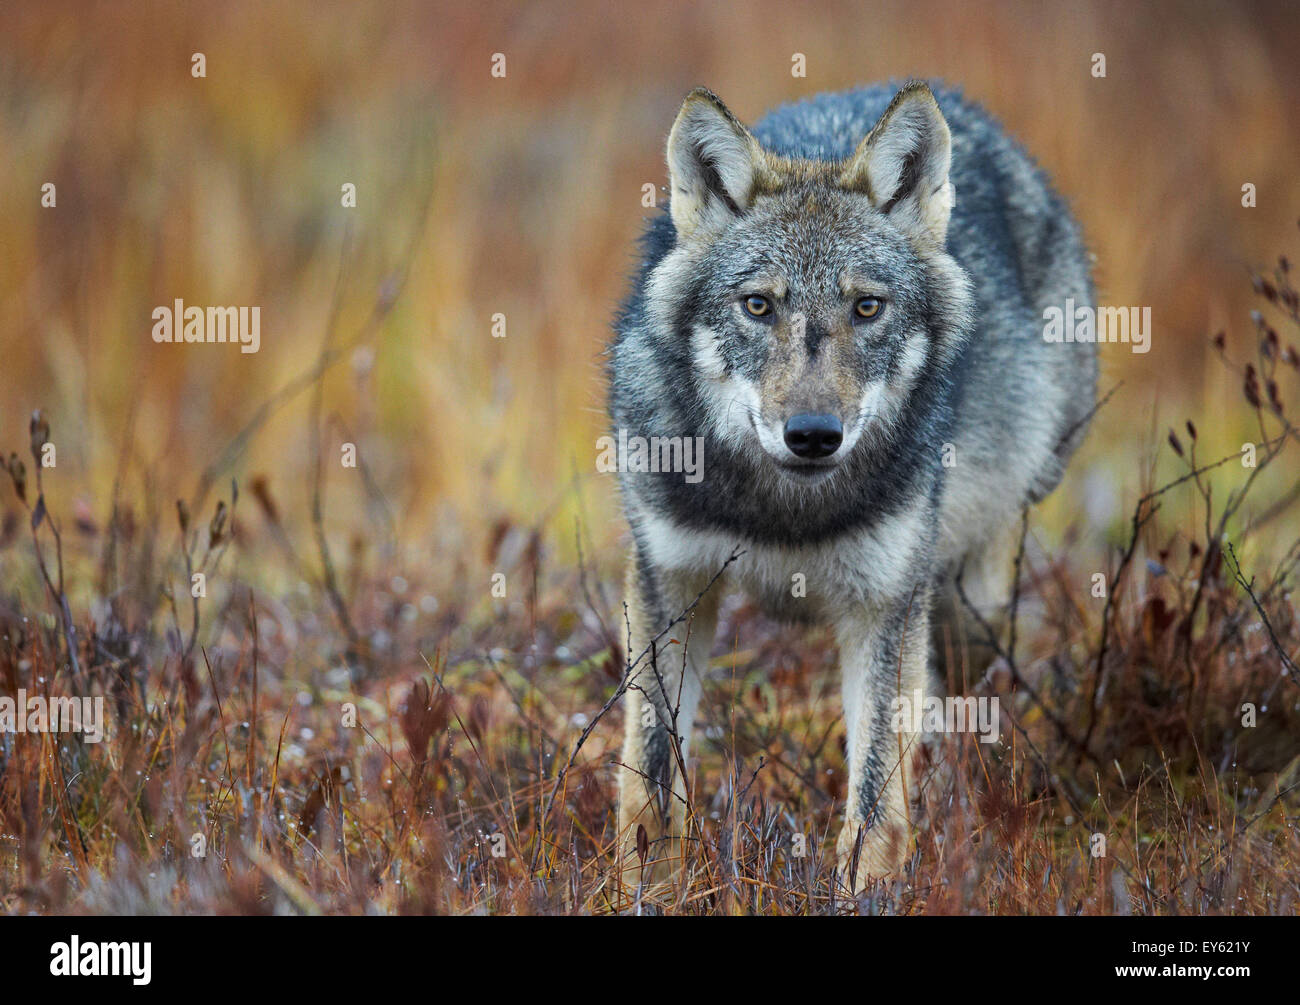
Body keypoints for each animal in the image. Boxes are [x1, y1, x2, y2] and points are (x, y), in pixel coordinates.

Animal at [606, 80, 1096, 895]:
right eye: (759, 305)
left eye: (867, 307)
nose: (812, 434)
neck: (784, 514)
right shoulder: (666, 583)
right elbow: (648, 784)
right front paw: (646, 893)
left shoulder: (885, 604)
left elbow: (874, 798)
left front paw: (865, 895)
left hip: (968, 596)